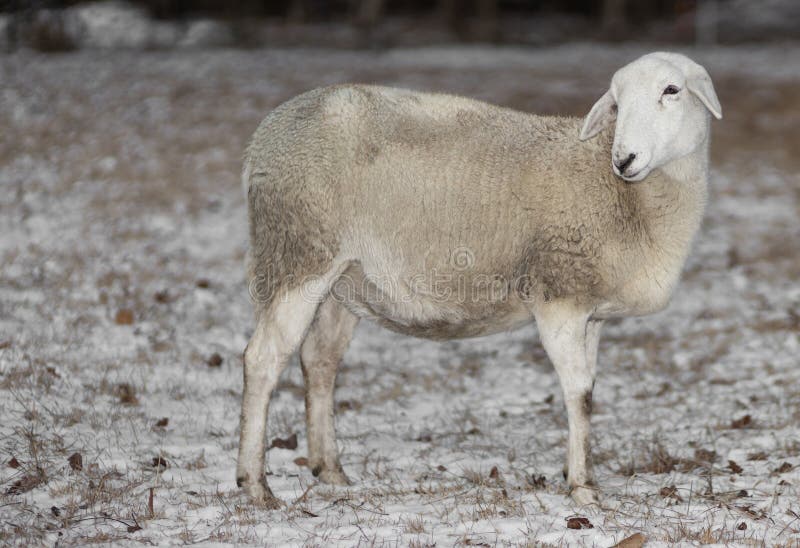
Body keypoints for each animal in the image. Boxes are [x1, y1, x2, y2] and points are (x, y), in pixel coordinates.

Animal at [236, 51, 722, 508]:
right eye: (616, 102)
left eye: (672, 90)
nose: (625, 159)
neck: (624, 194)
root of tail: (264, 136)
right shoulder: (557, 299)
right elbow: (579, 393)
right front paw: (582, 488)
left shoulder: (592, 313)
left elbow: (588, 392)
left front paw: (584, 477)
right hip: (297, 254)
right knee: (262, 360)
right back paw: (255, 484)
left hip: (343, 281)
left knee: (319, 361)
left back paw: (330, 470)